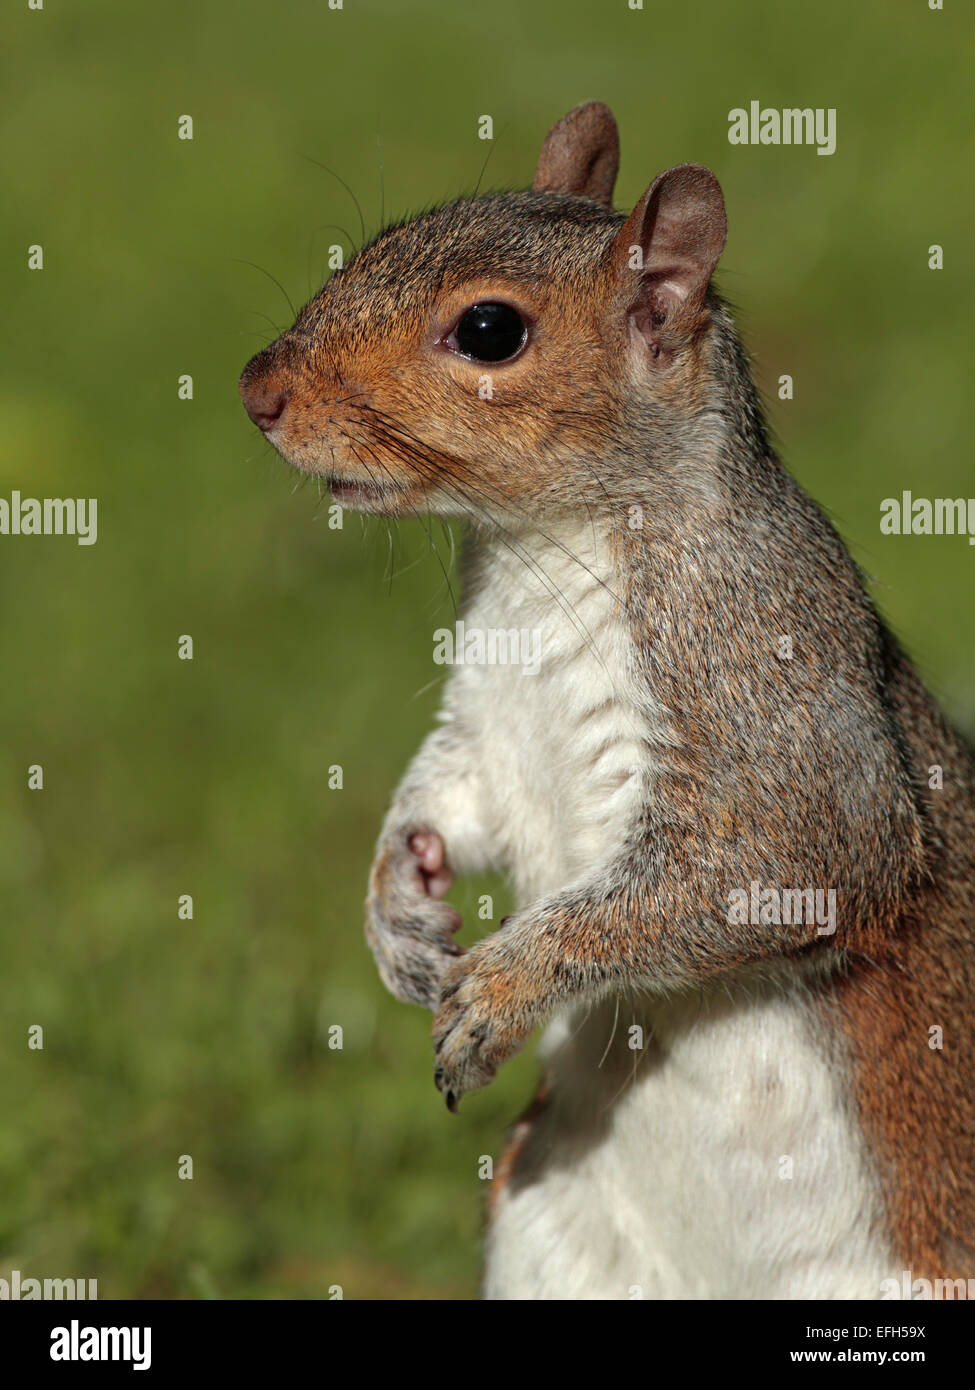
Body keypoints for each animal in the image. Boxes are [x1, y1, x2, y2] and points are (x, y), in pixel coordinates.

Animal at [240, 102, 975, 1300]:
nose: (258, 389)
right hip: (551, 1225)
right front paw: (399, 906)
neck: (544, 546)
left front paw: (502, 986)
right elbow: (450, 793)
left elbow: (789, 852)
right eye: (389, 235)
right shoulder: (486, 720)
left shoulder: (766, 670)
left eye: (489, 331)